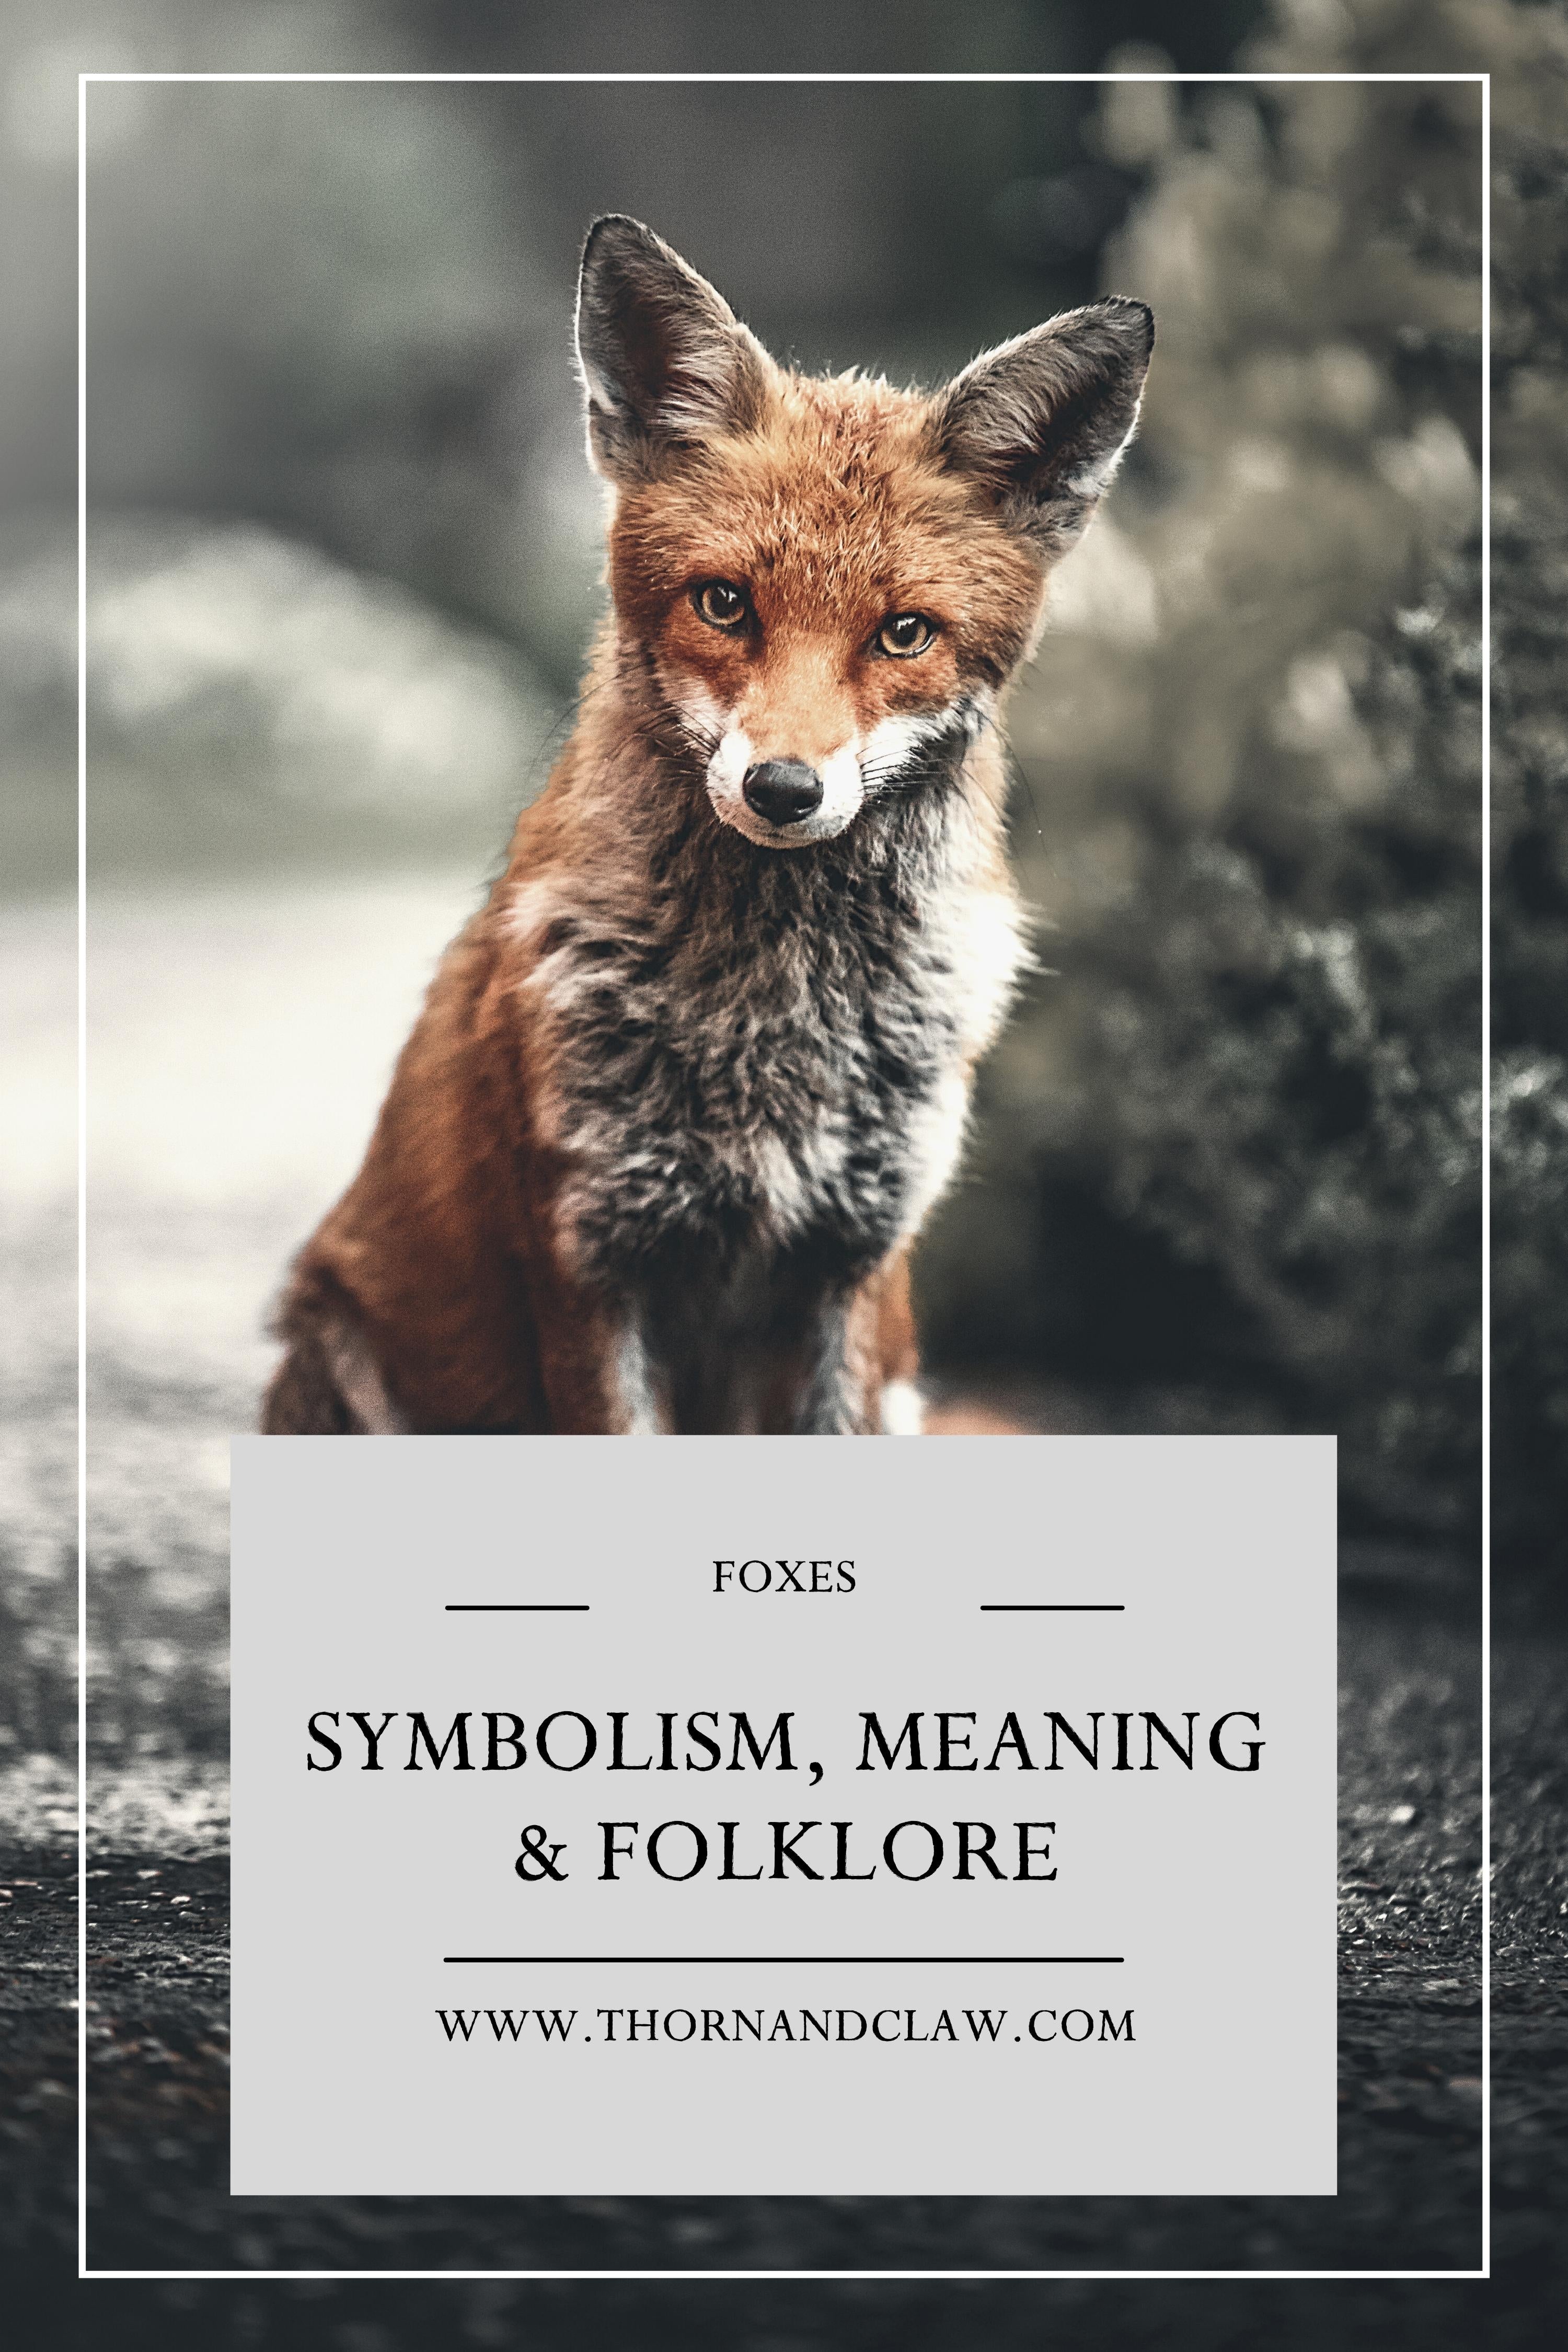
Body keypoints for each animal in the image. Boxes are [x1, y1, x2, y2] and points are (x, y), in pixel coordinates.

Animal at [260, 215, 1153, 1438]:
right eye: (724, 604)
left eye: (904, 634)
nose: (783, 789)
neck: (776, 1017)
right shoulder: (590, 1256)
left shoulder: (855, 1259)